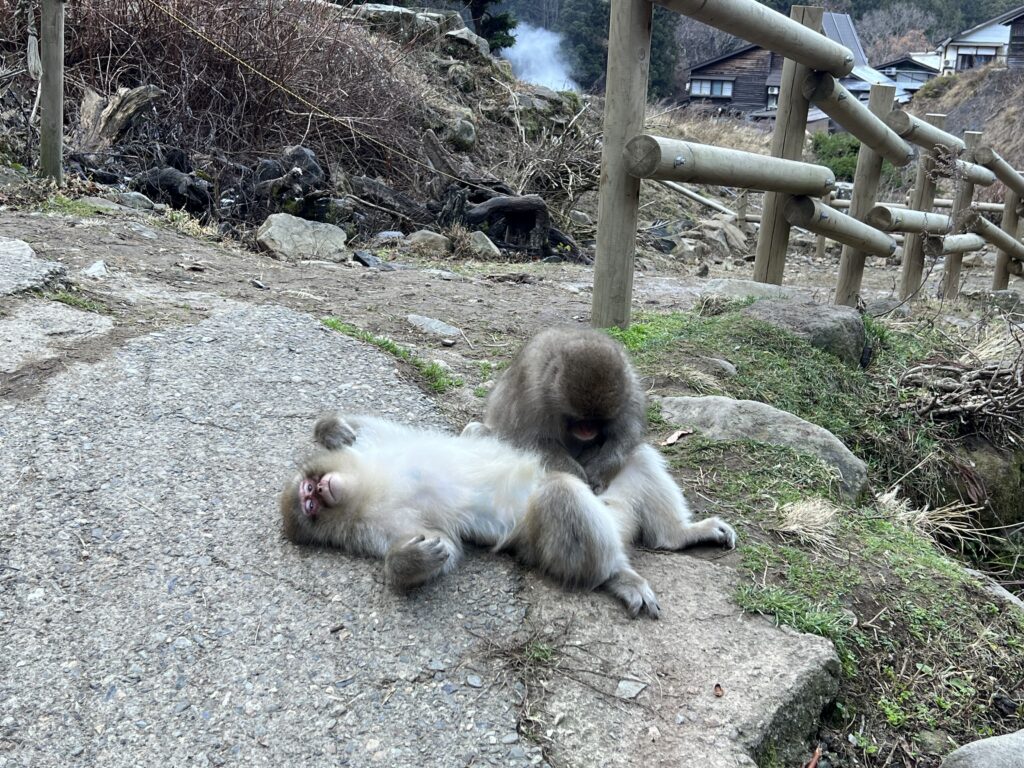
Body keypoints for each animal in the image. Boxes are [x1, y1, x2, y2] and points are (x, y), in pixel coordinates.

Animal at [280, 412, 736, 618]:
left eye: (309, 490)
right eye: (309, 506)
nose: (317, 491)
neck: (370, 486)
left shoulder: (375, 449)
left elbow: (369, 431)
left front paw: (333, 429)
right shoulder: (378, 526)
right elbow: (442, 544)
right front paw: (407, 561)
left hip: (610, 499)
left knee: (633, 456)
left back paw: (680, 534)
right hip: (552, 536)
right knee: (559, 495)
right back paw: (617, 576)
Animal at [470, 326, 647, 494]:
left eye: (597, 420)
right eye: (578, 418)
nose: (587, 429)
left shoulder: (629, 394)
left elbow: (625, 435)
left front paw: (599, 472)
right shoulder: (533, 401)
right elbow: (534, 443)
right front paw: (578, 478)